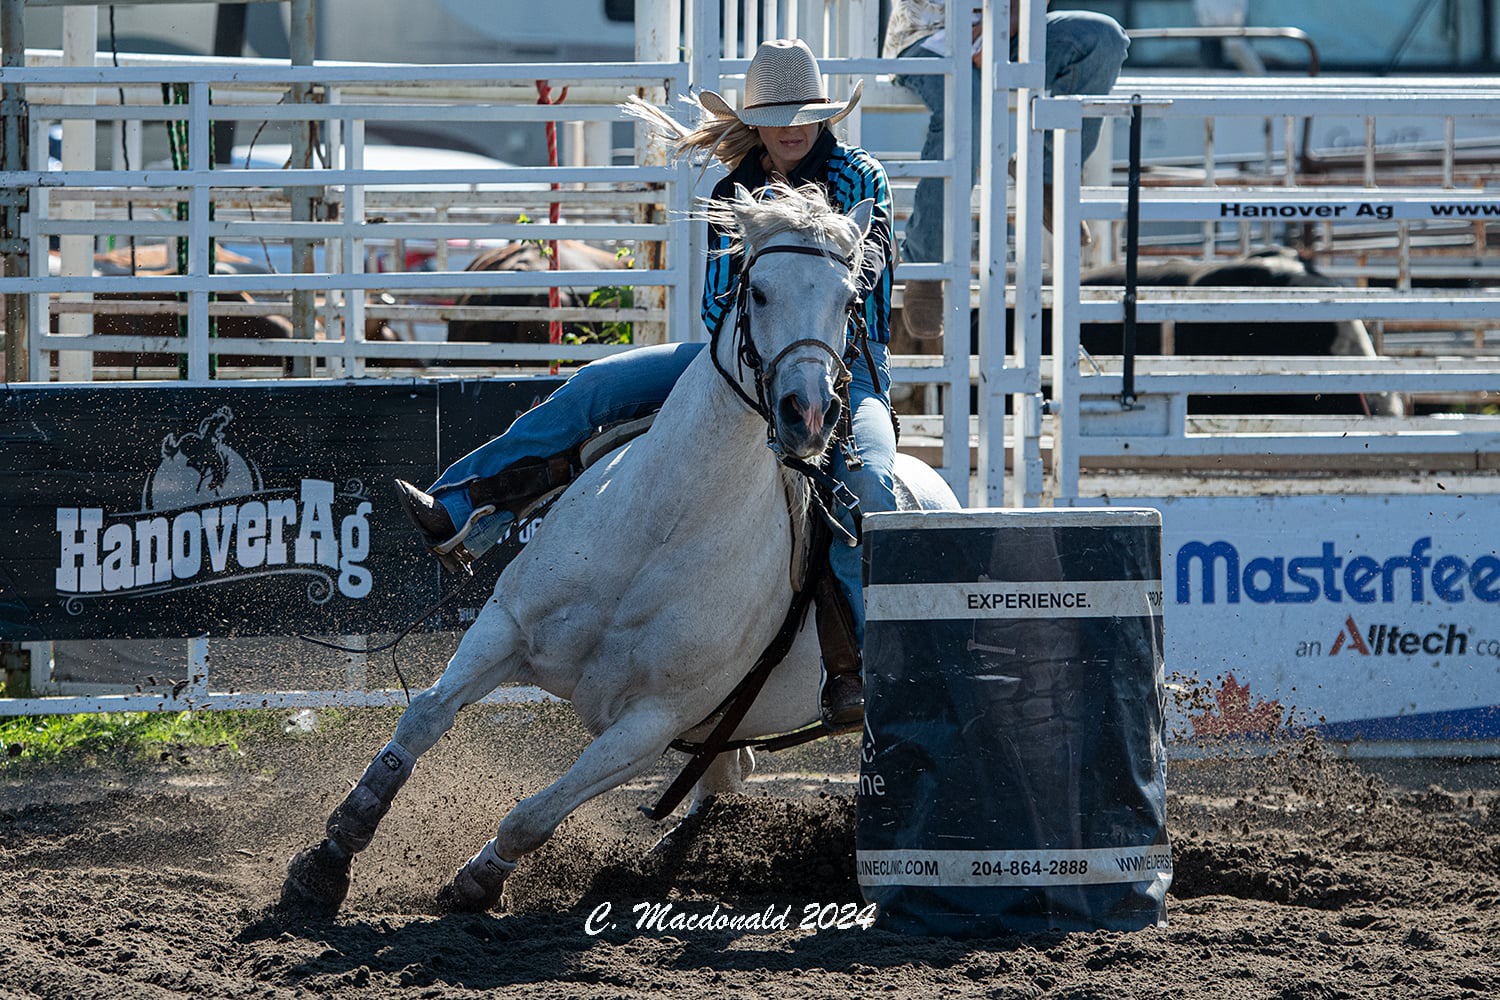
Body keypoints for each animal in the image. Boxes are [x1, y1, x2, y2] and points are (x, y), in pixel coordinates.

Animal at [281, 182, 961, 914]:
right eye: (757, 292)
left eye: (851, 298)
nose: (807, 414)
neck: (662, 528)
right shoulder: (506, 628)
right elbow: (423, 719)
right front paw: (330, 855)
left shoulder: (651, 724)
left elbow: (535, 814)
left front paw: (478, 880)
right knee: (726, 773)